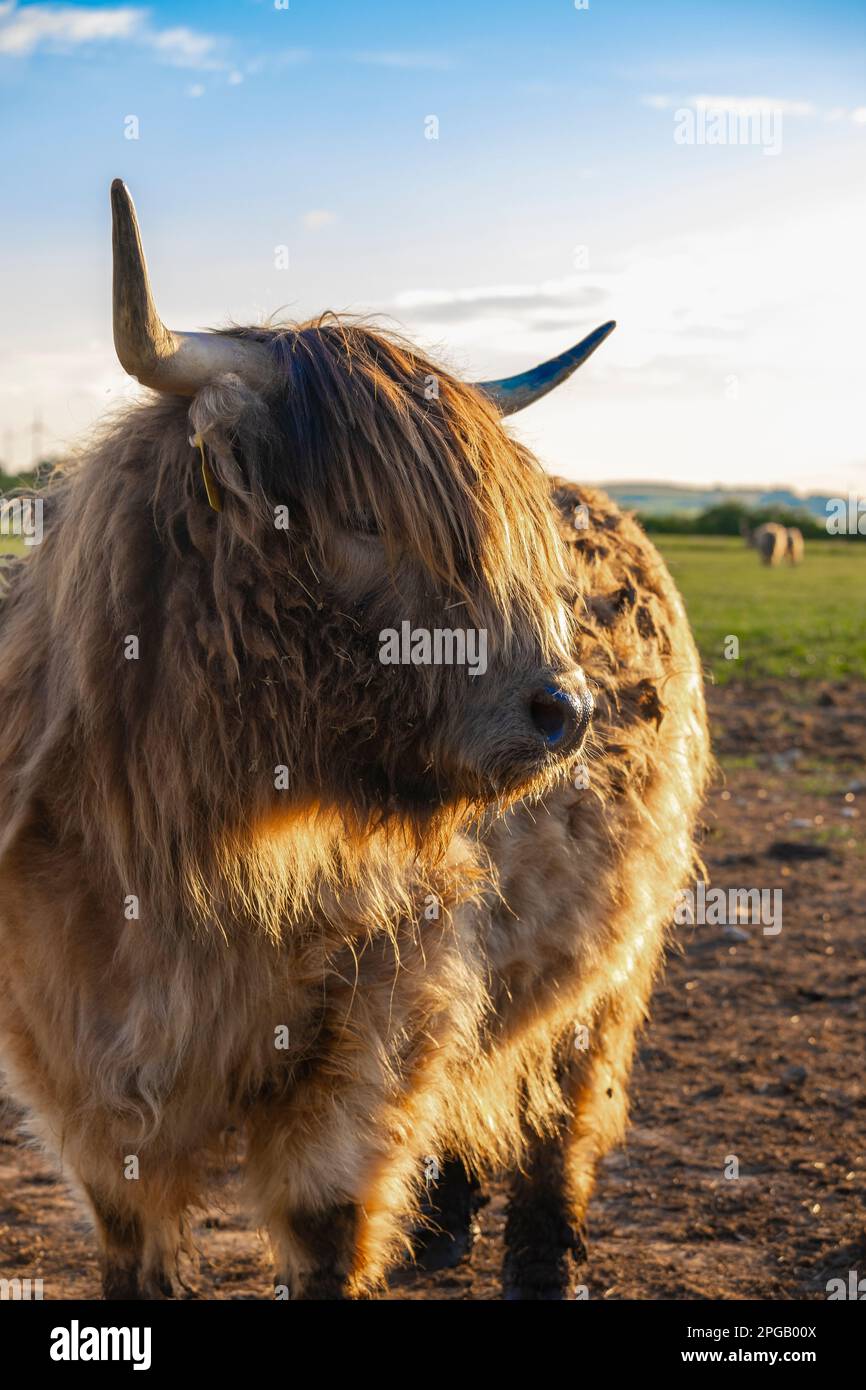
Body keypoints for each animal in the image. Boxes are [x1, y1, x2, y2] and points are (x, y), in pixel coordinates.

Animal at [0, 182, 710, 1300]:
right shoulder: (69, 1053)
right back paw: (442, 1229)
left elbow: (324, 1222)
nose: (567, 708)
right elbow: (129, 1231)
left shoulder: (369, 1028)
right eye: (365, 519)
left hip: (618, 958)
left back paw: (538, 1260)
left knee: (562, 1111)